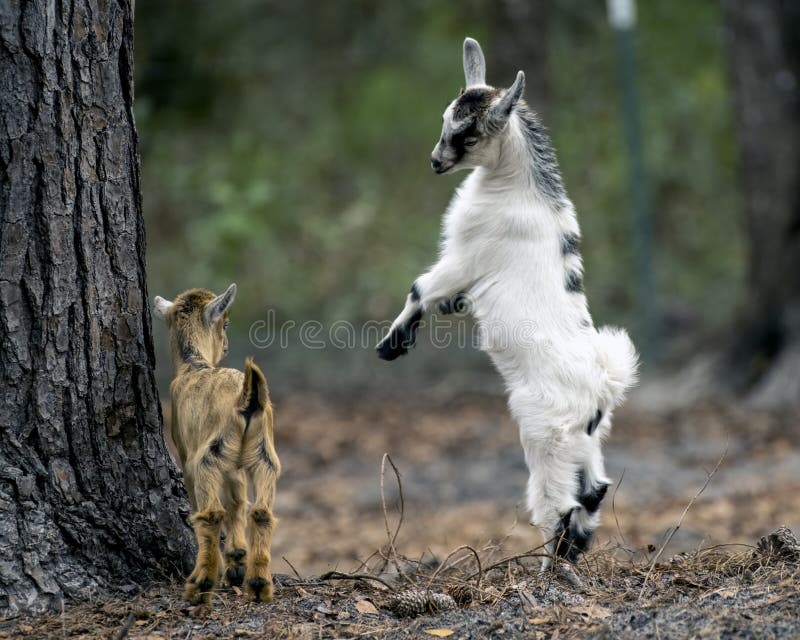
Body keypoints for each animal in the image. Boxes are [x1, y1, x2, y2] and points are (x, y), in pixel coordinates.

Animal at [153, 284, 280, 603]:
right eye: (226, 324)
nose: (226, 347)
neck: (192, 367)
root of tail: (247, 396)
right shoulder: (234, 465)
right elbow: (237, 500)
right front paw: (237, 561)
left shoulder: (187, 457)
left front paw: (228, 567)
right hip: (264, 454)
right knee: (261, 512)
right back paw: (259, 583)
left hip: (208, 457)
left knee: (211, 513)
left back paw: (201, 582)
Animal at [377, 38, 638, 568]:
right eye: (445, 119)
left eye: (468, 133)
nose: (435, 161)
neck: (516, 190)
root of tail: (604, 384)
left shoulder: (465, 258)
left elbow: (420, 287)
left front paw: (394, 342)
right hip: (586, 438)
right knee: (594, 490)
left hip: (544, 432)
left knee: (558, 503)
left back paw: (546, 569)